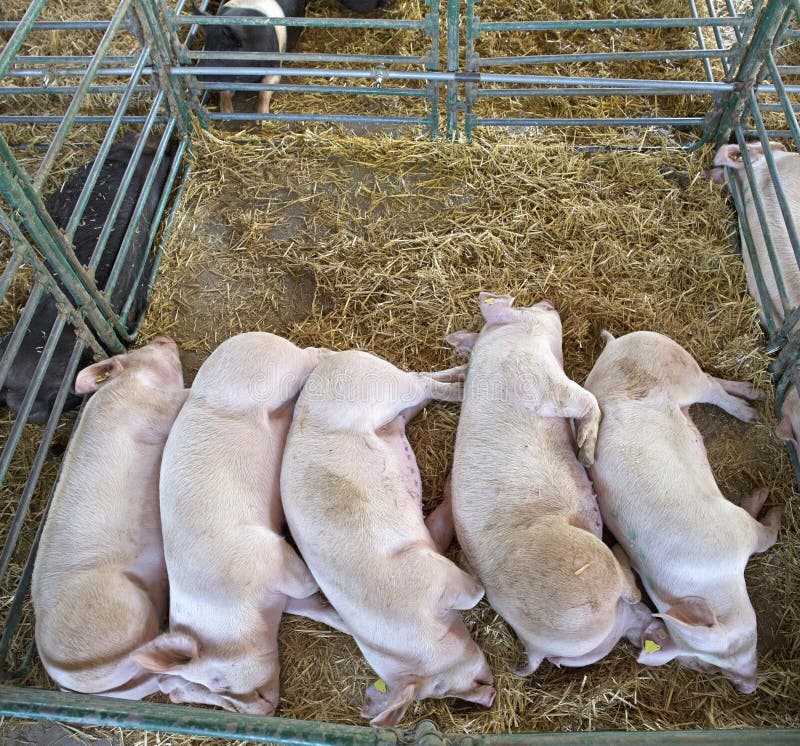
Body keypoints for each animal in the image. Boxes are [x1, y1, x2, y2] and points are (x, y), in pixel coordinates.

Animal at [132, 332, 342, 715]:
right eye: (204, 695)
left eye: (219, 682)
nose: (262, 711)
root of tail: (237, 341)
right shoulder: (280, 597)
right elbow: (317, 611)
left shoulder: (267, 552)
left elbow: (304, 584)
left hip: (273, 373)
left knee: (309, 356)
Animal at [280, 350, 495, 727]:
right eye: (440, 691)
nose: (489, 699)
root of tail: (329, 362)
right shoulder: (430, 547)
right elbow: (439, 524)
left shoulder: (434, 577)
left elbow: (471, 595)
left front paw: (479, 583)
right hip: (395, 405)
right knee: (421, 383)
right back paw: (463, 373)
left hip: (381, 387)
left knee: (419, 381)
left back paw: (463, 383)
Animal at [446, 293, 651, 677]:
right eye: (524, 308)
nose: (547, 300)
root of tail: (536, 646)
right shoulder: (544, 381)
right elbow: (587, 401)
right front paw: (586, 452)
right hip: (589, 565)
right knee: (628, 588)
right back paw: (622, 554)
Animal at [584, 330, 781, 694]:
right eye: (713, 666)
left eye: (734, 644)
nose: (747, 689)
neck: (712, 578)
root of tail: (616, 343)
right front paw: (761, 496)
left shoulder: (740, 530)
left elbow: (768, 536)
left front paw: (771, 501)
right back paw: (754, 396)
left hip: (678, 367)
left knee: (711, 385)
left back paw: (751, 411)